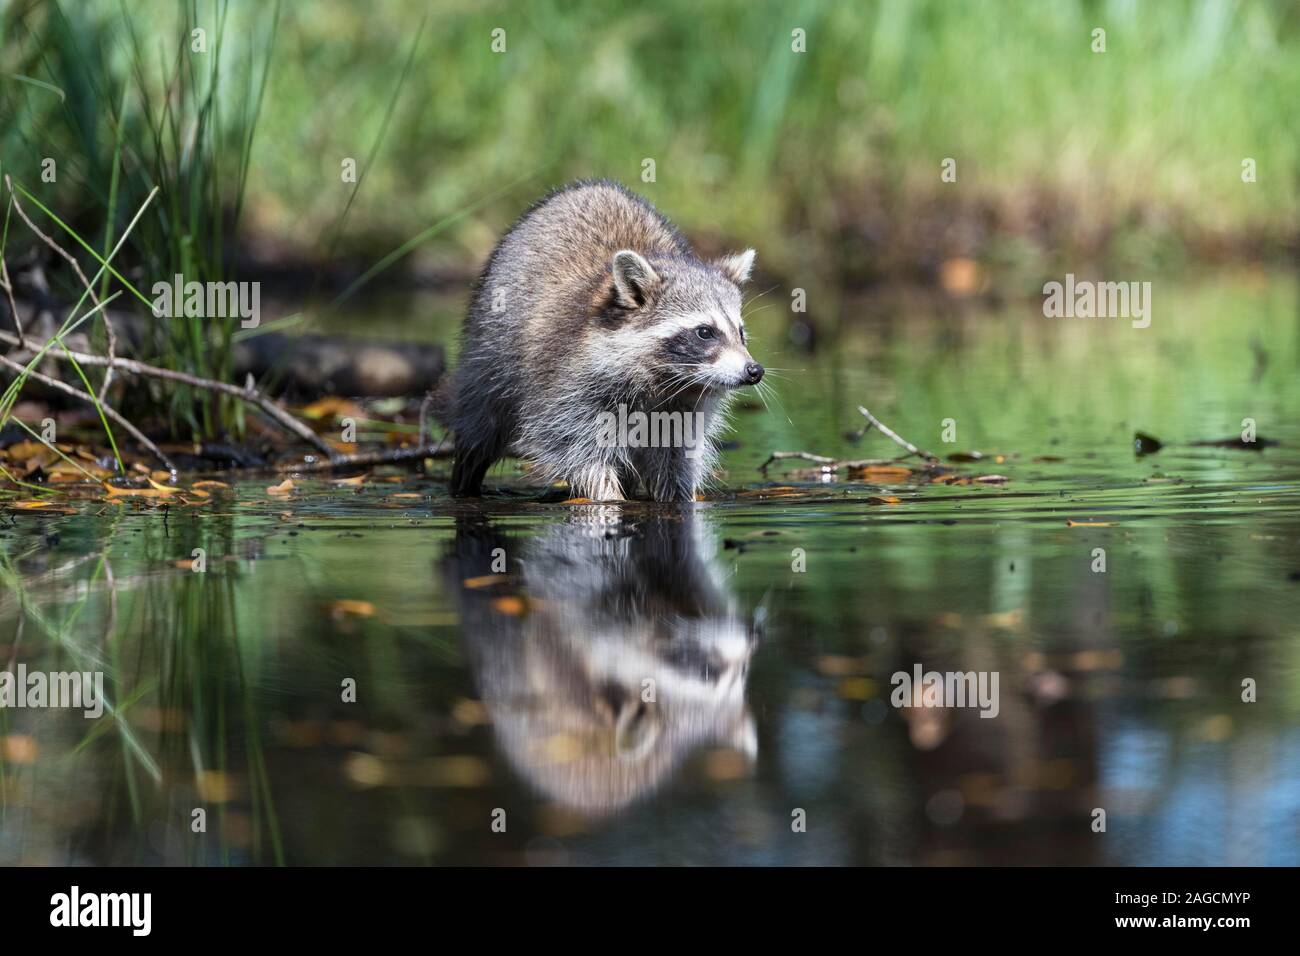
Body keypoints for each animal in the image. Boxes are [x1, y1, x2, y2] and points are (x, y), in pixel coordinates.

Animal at [447, 179, 763, 502]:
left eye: (740, 332)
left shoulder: (684, 407)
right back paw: (465, 476)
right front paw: (606, 495)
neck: (664, 383)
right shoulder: (567, 384)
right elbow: (575, 447)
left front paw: (678, 496)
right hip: (488, 353)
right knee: (480, 422)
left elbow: (676, 454)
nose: (754, 371)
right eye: (705, 332)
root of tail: (592, 186)